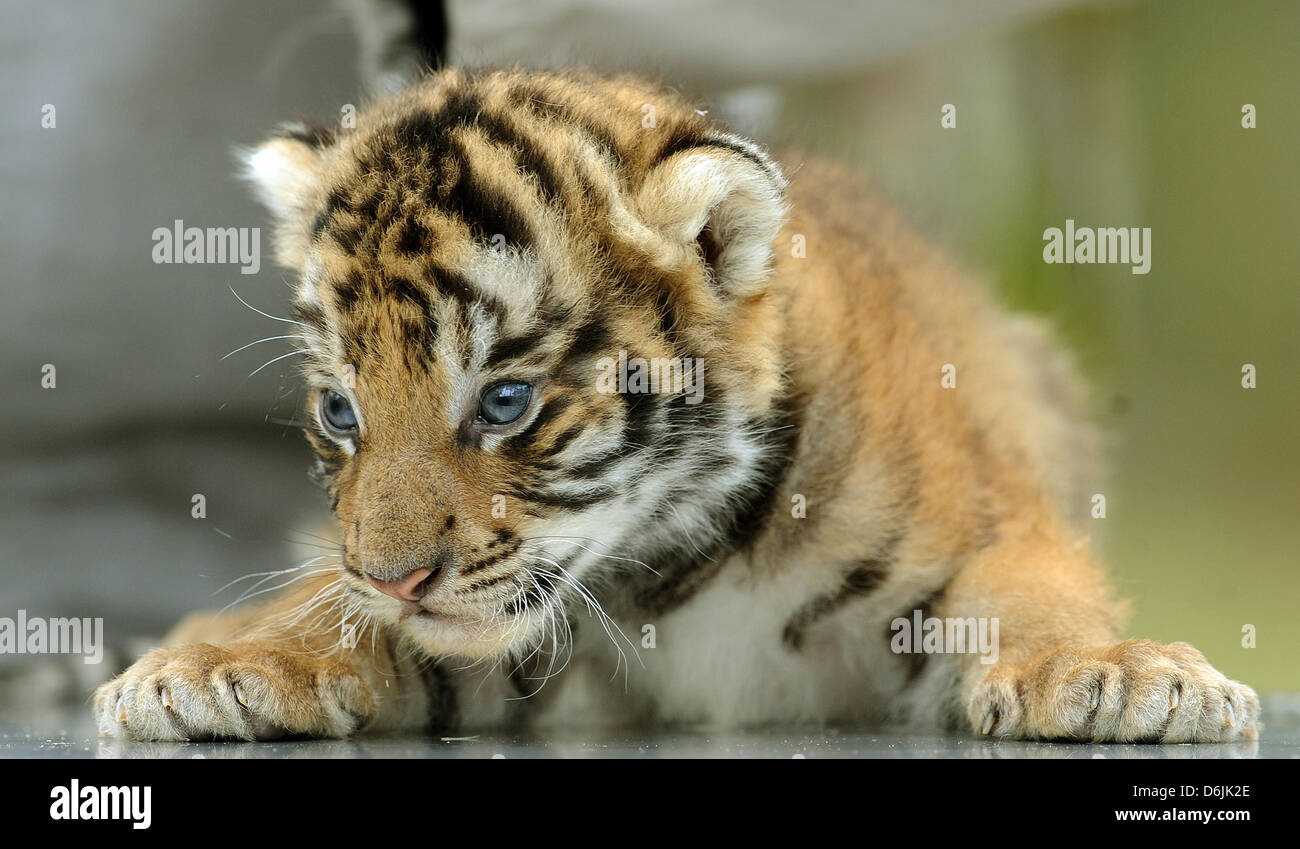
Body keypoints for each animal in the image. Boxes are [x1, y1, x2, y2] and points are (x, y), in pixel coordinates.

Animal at [94, 67, 1259, 743]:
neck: (675, 569)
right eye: (342, 414)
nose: (392, 578)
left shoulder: (986, 520)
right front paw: (226, 664)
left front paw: (1106, 675)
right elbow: (331, 610)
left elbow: (1030, 589)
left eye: (505, 401)